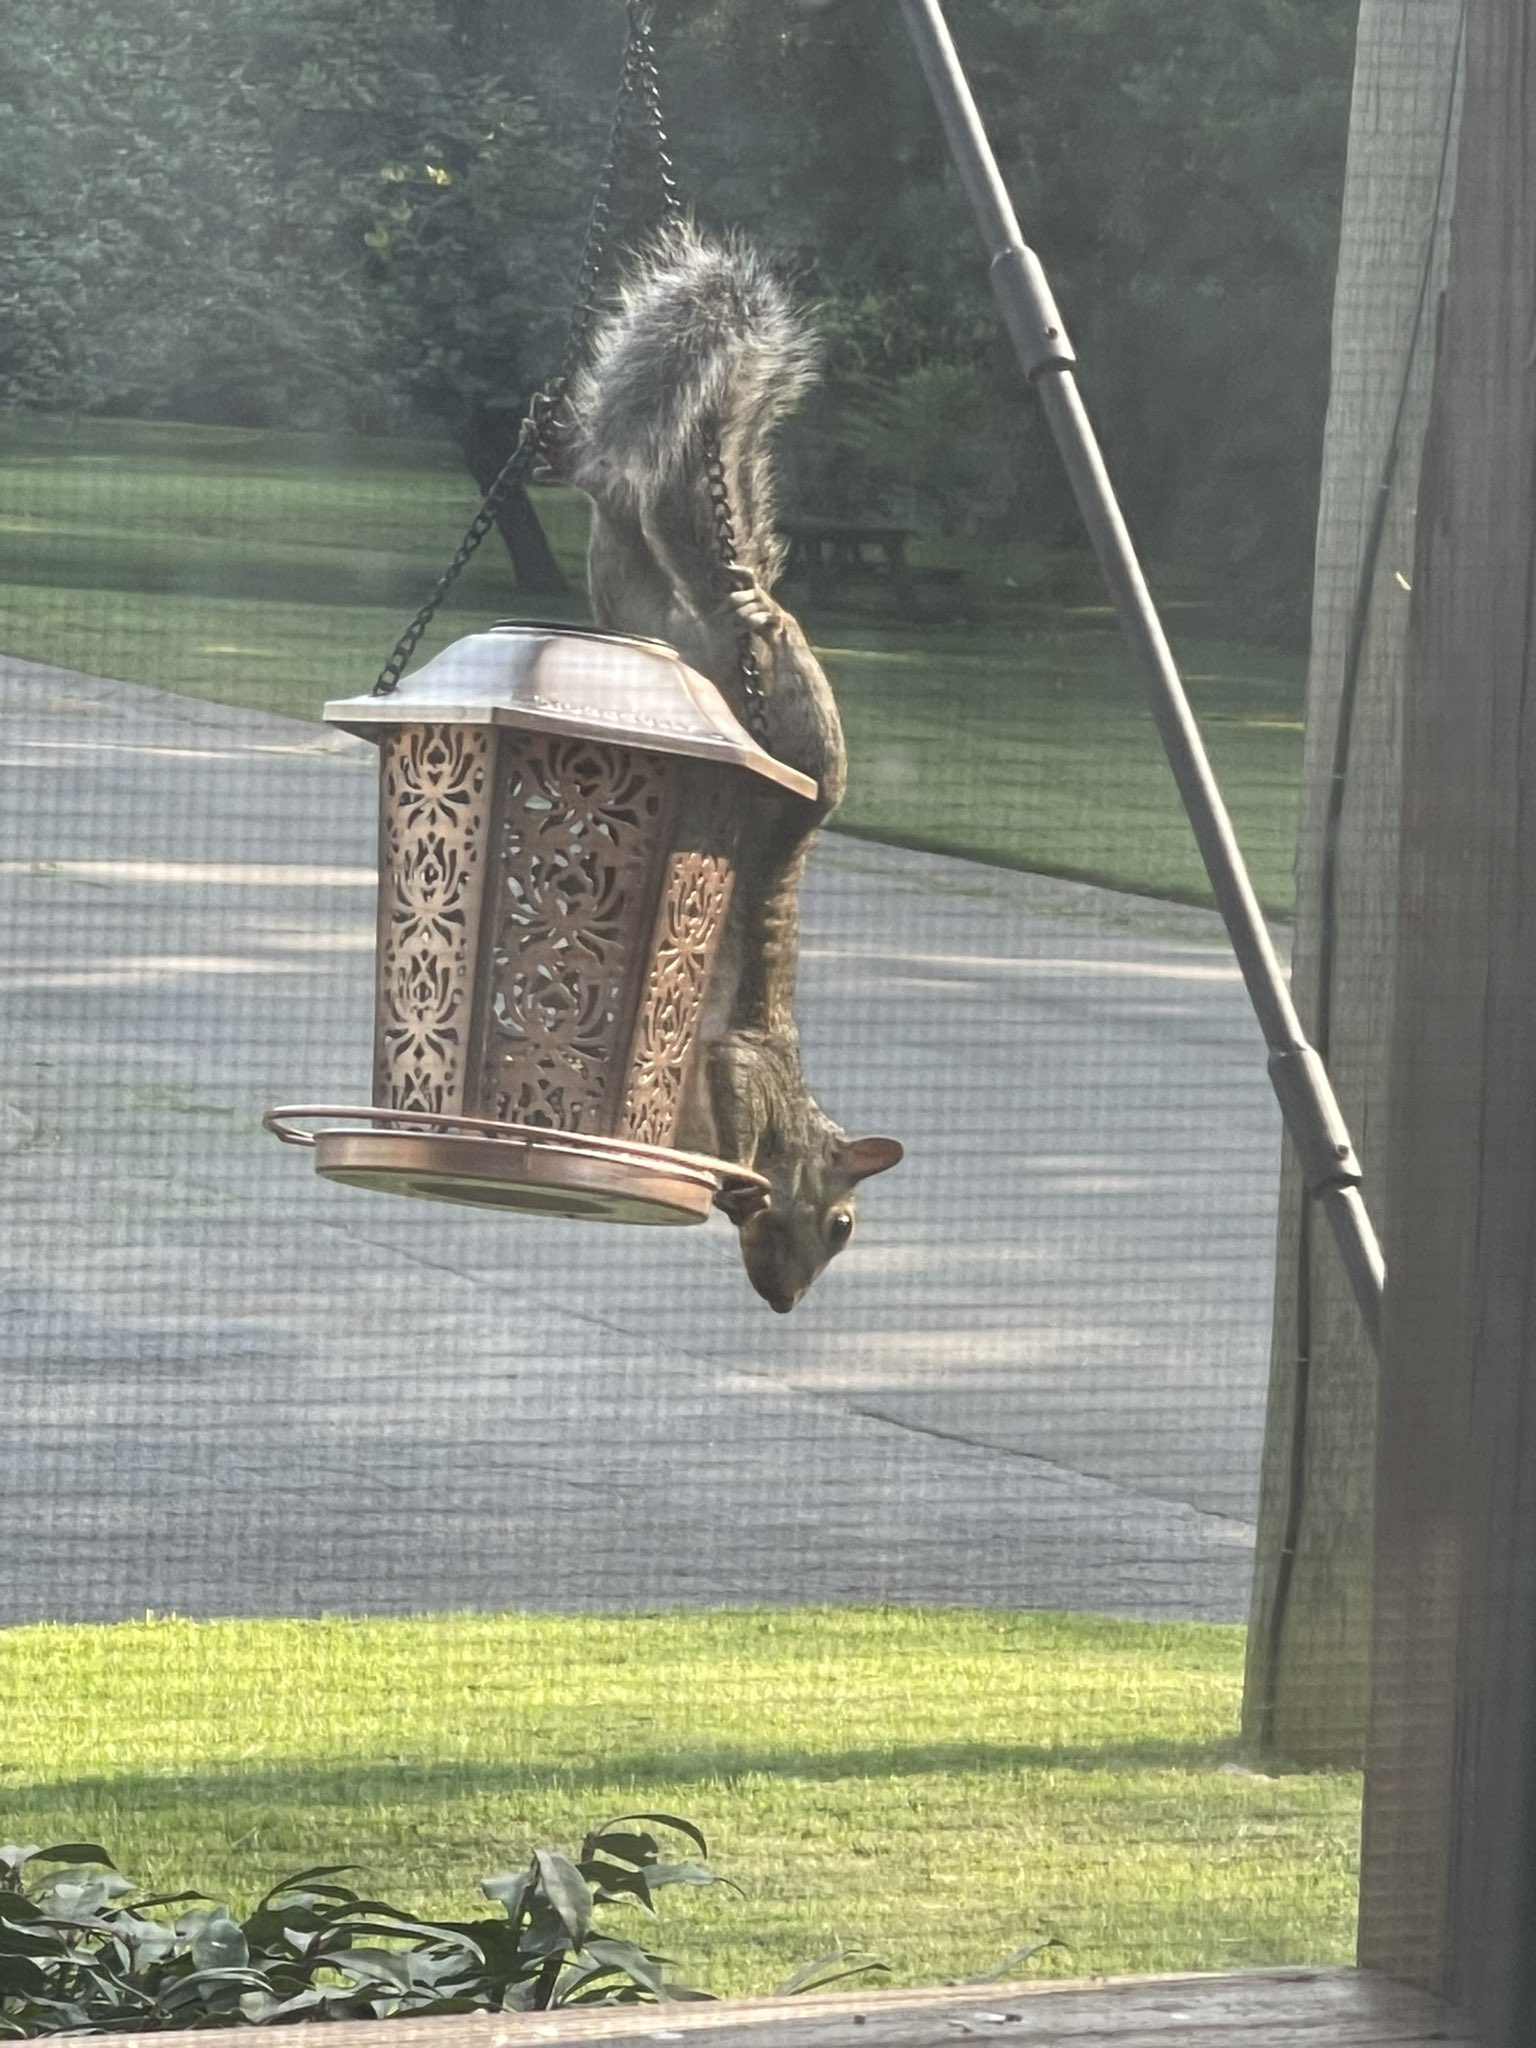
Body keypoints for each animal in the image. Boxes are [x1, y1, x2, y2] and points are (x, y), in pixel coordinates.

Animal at [556, 221, 903, 1312]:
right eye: (840, 1222)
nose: (787, 1305)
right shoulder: (743, 1066)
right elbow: (737, 1106)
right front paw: (739, 1182)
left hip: (633, 602)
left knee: (624, 523)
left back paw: (591, 472)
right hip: (773, 704)